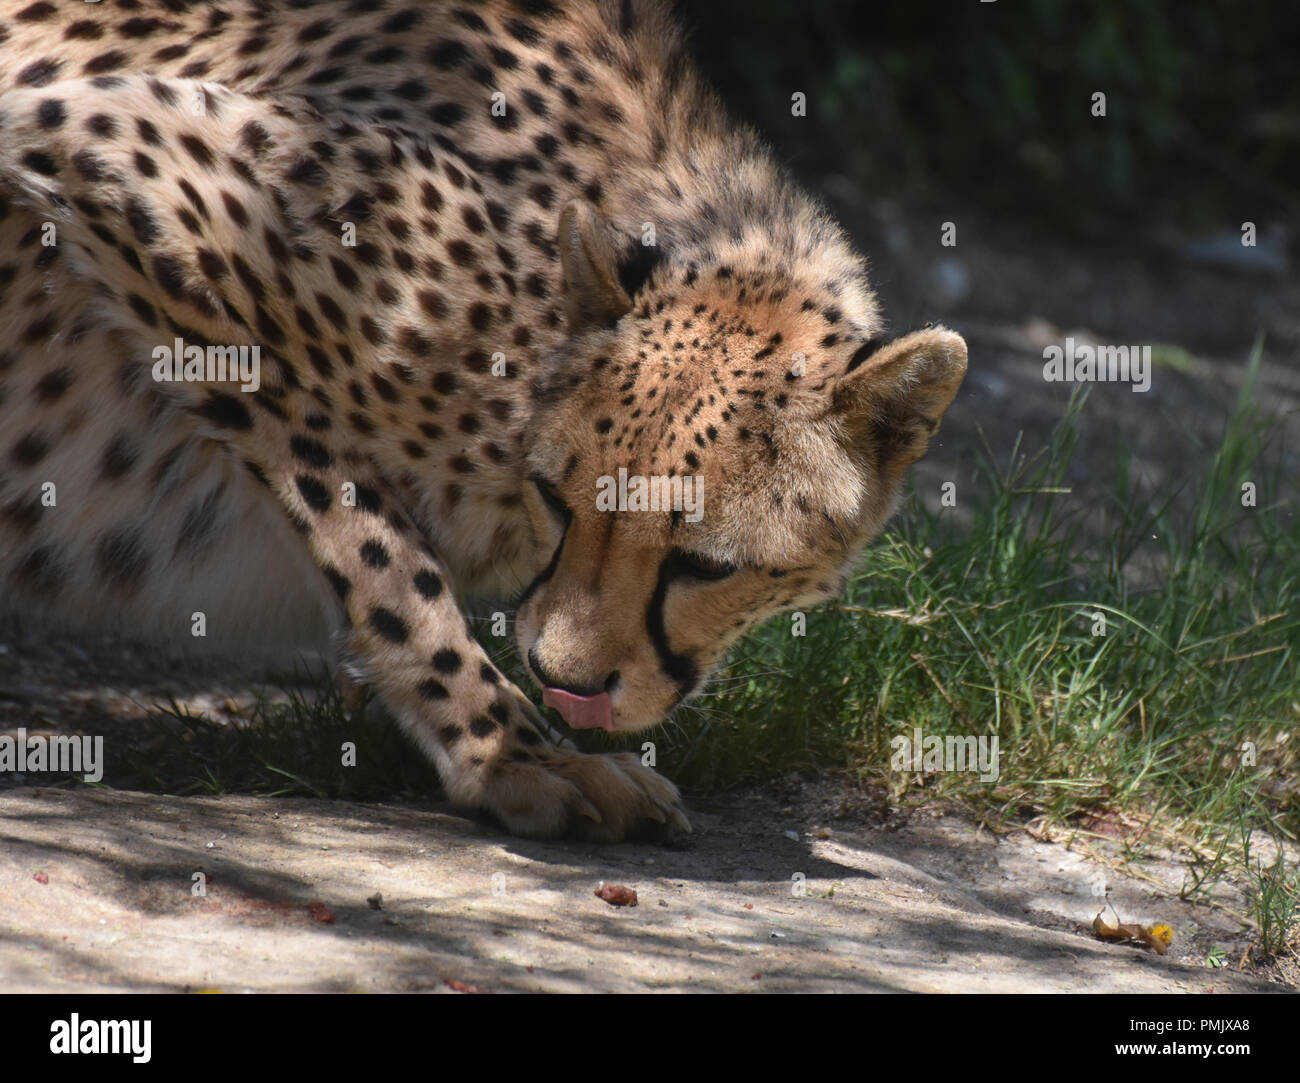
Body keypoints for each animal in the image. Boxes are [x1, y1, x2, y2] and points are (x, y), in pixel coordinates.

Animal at [0, 0, 966, 841]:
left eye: (706, 565)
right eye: (558, 498)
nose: (565, 679)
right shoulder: (108, 136)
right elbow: (382, 554)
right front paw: (514, 753)